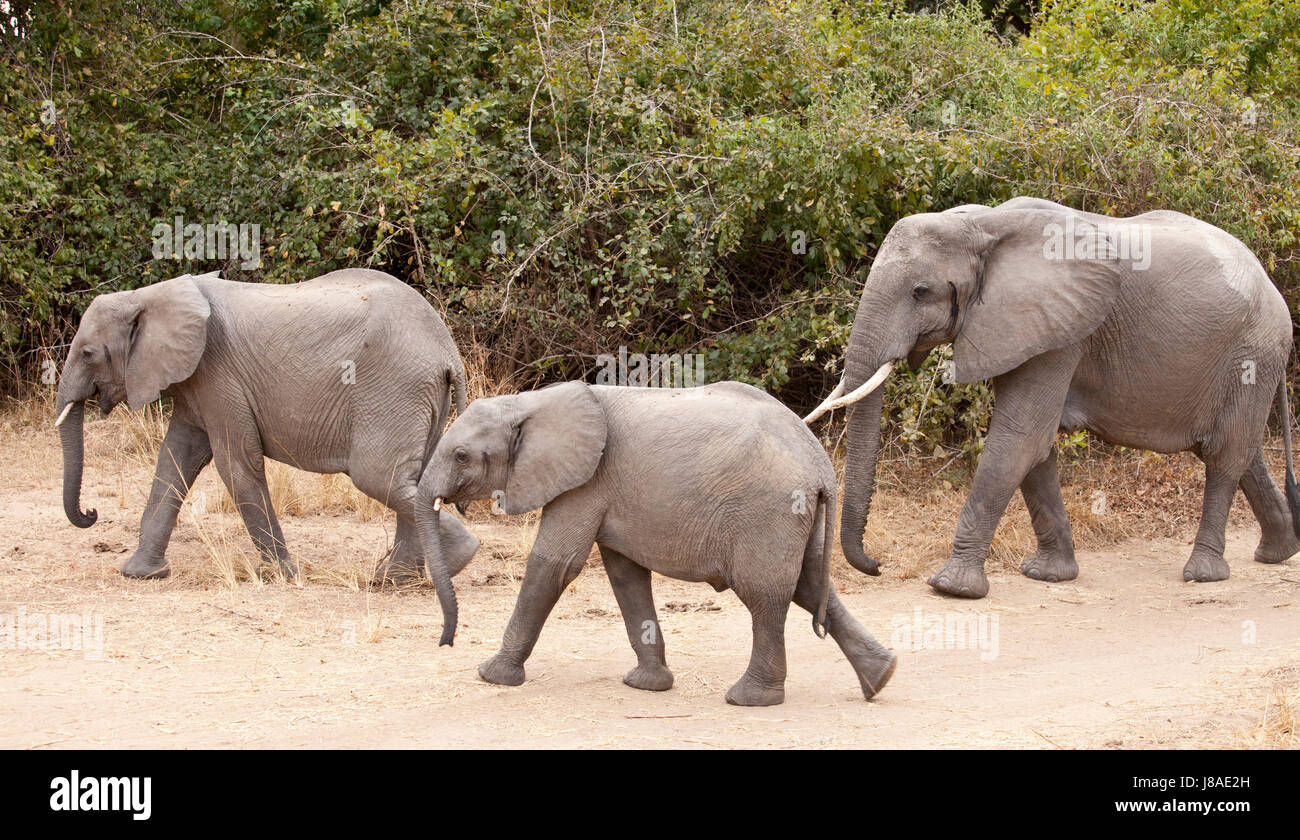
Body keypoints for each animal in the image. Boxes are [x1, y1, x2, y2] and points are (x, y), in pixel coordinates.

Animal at [56, 268, 480, 591]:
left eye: (88, 353)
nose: (91, 512)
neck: (149, 296)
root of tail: (448, 353)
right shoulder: (196, 385)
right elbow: (175, 461)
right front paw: (141, 574)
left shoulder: (218, 375)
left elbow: (235, 467)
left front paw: (281, 575)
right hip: (421, 397)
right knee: (409, 477)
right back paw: (392, 579)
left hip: (395, 388)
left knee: (378, 477)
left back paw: (454, 559)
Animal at [413, 380, 897, 706]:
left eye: (461, 456)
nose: (445, 642)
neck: (529, 402)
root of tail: (819, 465)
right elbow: (625, 574)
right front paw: (647, 685)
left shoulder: (586, 483)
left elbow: (554, 564)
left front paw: (492, 675)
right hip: (796, 516)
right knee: (809, 585)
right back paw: (881, 677)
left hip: (770, 510)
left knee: (765, 594)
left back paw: (748, 698)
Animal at [804, 196, 1300, 598]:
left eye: (920, 292)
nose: (877, 566)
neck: (983, 224)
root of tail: (1272, 288)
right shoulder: (1023, 327)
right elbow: (1036, 447)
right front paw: (1048, 576)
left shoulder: (1061, 330)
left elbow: (1019, 436)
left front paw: (951, 588)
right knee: (1241, 453)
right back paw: (1278, 552)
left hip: (1253, 350)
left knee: (1224, 455)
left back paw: (1203, 574)